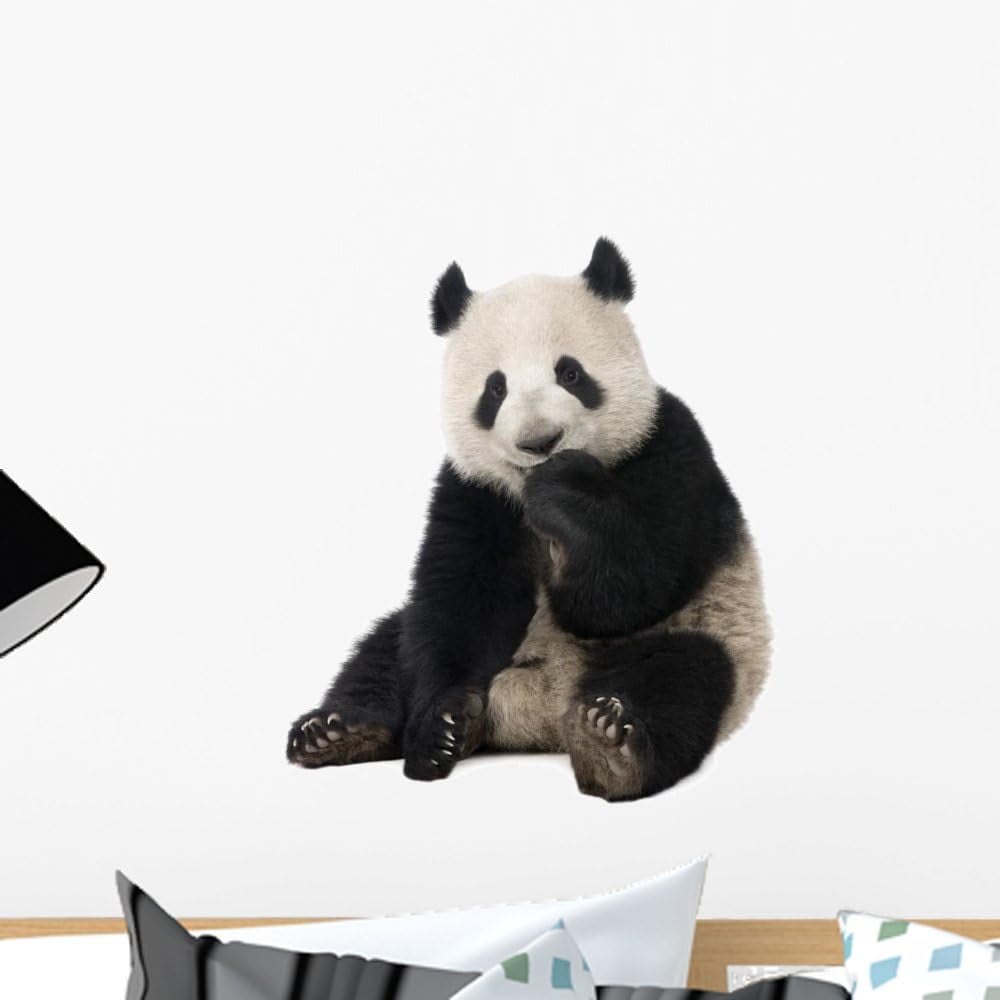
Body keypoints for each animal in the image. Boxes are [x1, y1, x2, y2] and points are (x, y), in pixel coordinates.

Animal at [286, 238, 771, 801]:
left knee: (681, 676)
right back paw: (340, 731)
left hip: (714, 634)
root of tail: (538, 714)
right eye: (495, 389)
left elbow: (630, 589)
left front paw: (565, 492)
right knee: (386, 649)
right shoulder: (474, 490)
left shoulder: (669, 447)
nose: (540, 442)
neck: (526, 490)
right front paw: (440, 730)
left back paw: (610, 746)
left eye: (571, 374)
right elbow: (460, 602)